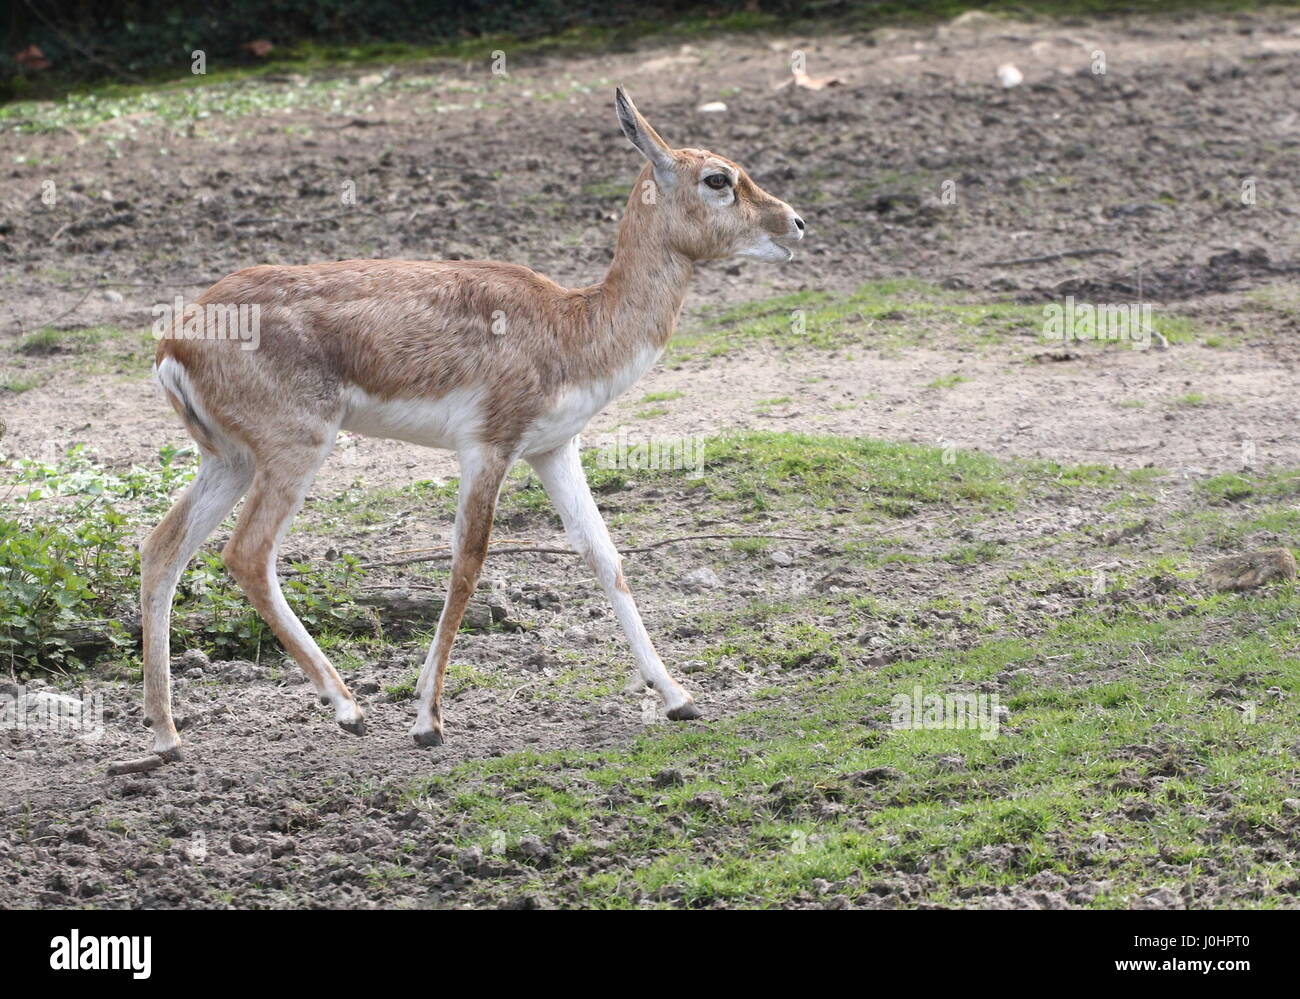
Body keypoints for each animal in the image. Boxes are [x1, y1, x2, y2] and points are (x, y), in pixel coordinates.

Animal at [113, 88, 805, 772]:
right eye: (718, 178)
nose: (795, 223)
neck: (573, 328)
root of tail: (174, 339)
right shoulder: (487, 447)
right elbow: (468, 562)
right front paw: (427, 721)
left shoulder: (553, 449)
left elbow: (604, 556)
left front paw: (680, 698)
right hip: (296, 448)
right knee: (247, 552)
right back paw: (348, 710)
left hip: (229, 459)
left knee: (161, 547)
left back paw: (167, 735)